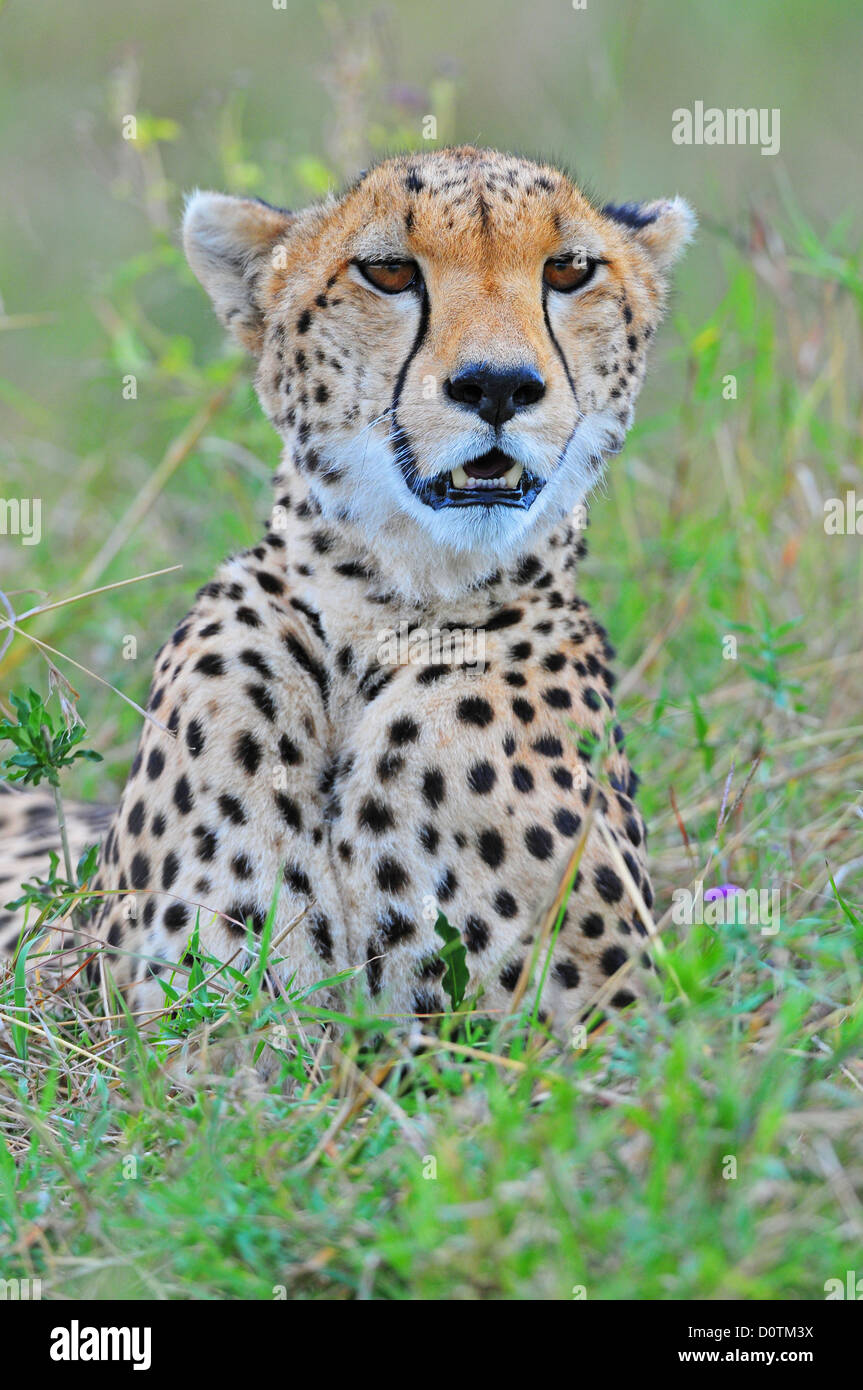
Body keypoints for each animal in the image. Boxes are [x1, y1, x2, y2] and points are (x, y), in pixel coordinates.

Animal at [0, 146, 694, 1035]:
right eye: (388, 271)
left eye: (569, 269)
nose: (497, 385)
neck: (386, 614)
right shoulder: (185, 1023)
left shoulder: (592, 1034)